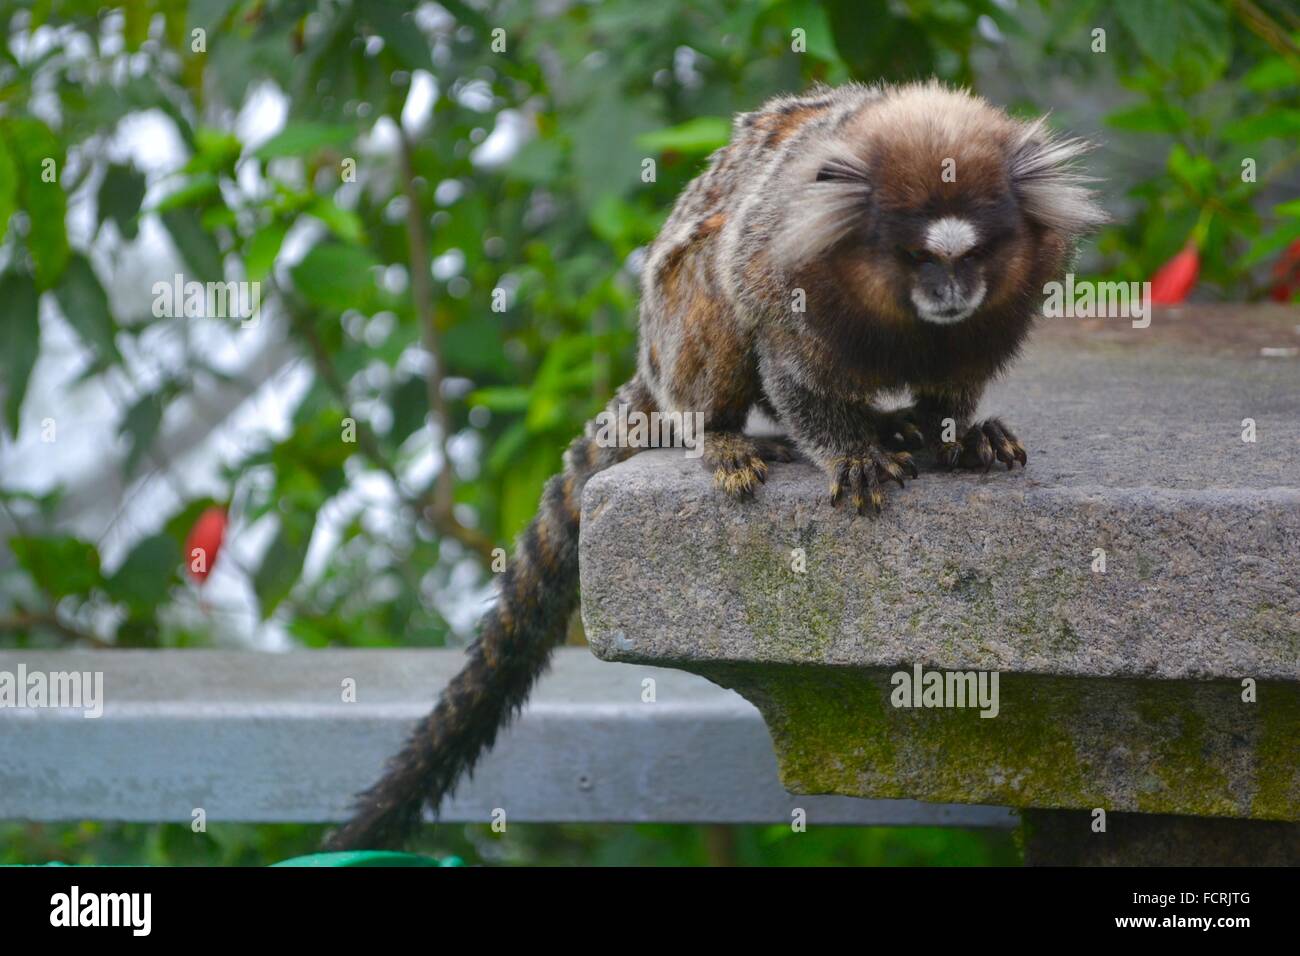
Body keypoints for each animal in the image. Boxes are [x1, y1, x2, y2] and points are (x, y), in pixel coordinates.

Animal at [324, 80, 1106, 850]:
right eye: (920, 258)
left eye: (973, 256)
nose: (951, 293)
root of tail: (648, 356)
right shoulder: (789, 276)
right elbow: (786, 360)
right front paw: (851, 452)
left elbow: (957, 383)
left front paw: (959, 437)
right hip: (675, 331)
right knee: (711, 280)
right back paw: (730, 436)